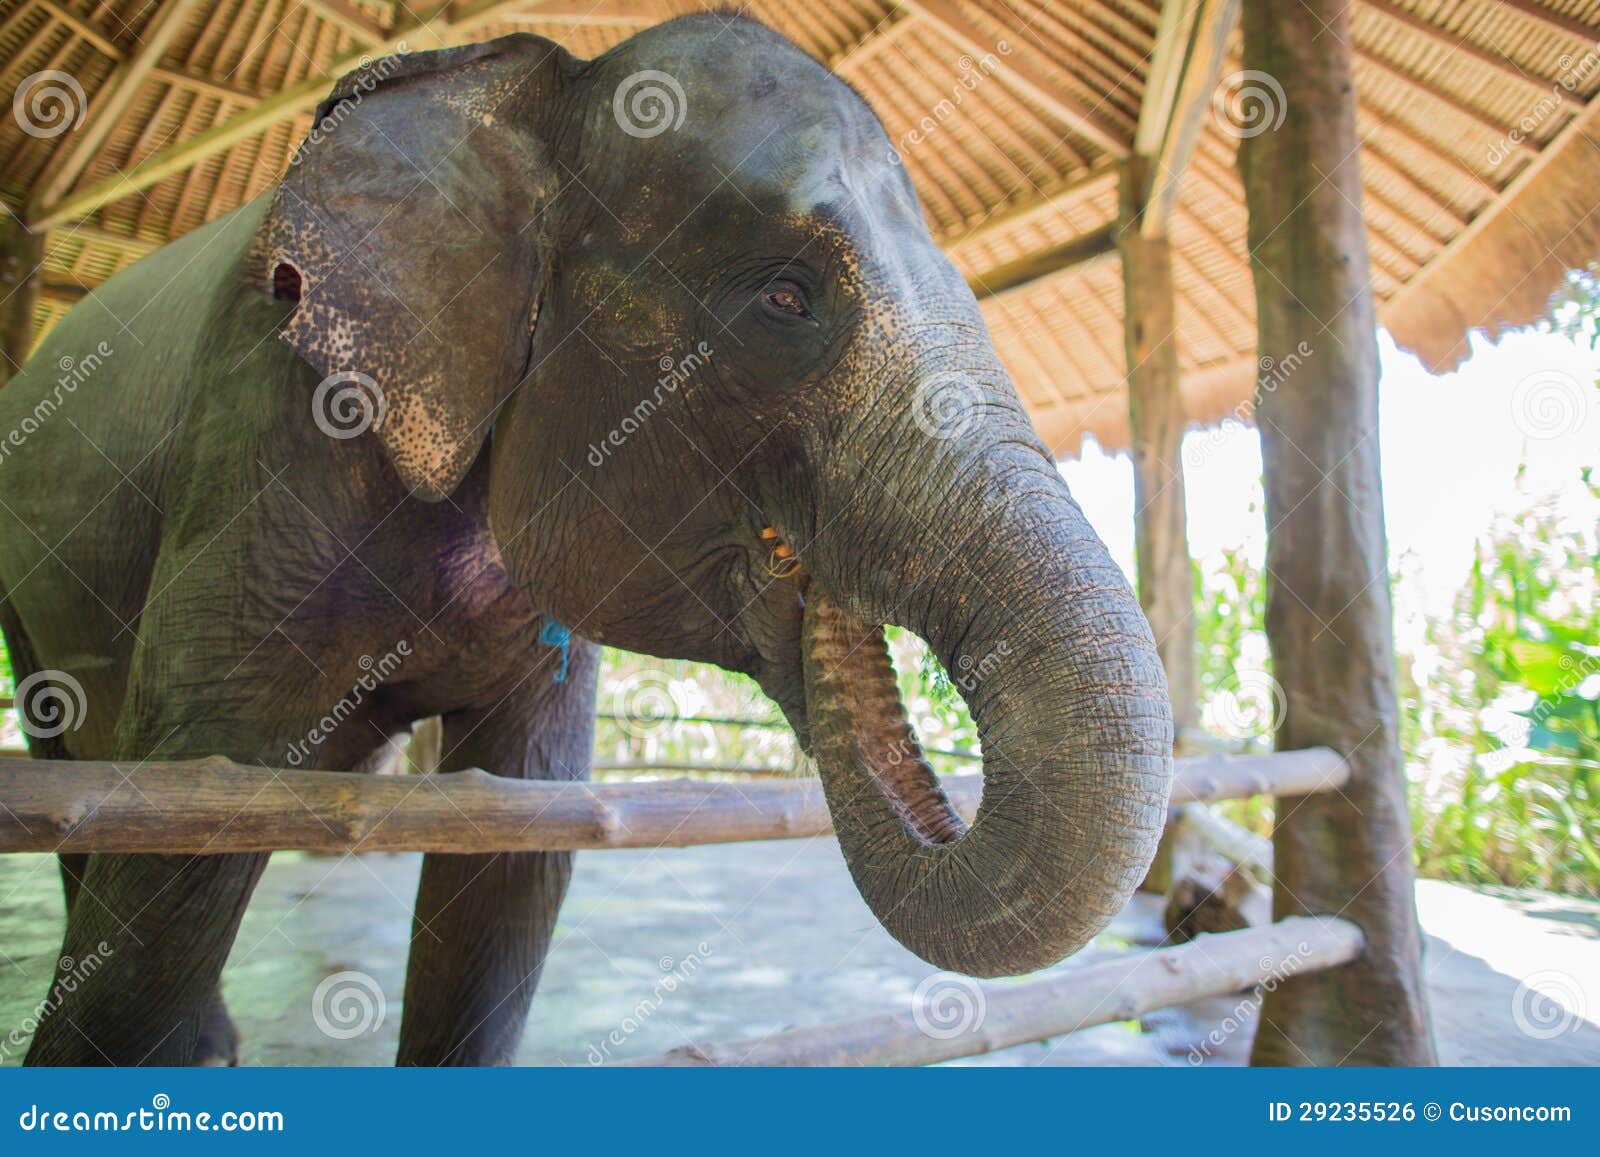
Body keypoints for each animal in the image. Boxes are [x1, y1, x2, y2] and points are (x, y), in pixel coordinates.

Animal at [0, 13, 1172, 1066]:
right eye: (785, 295)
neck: (537, 88)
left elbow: (515, 856)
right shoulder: (262, 427)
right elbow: (176, 824)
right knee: (76, 774)